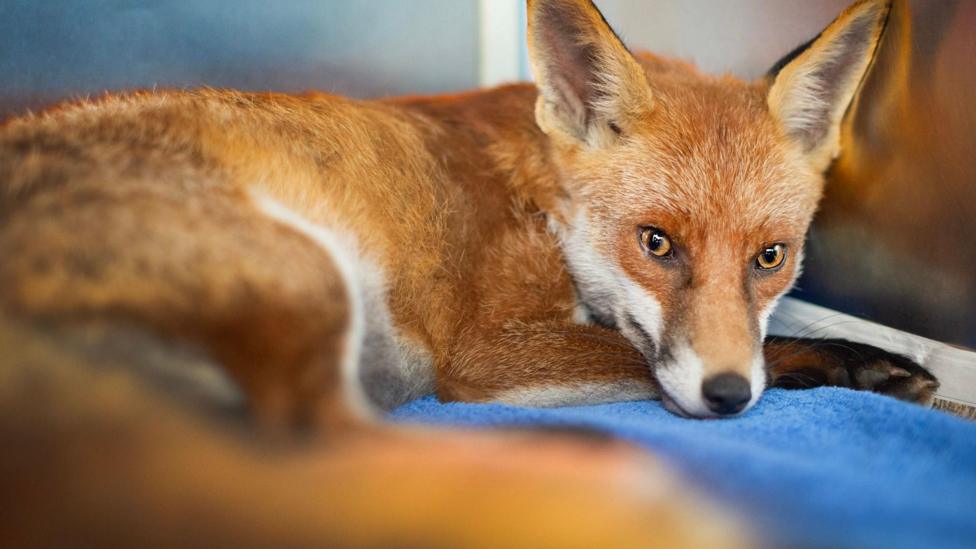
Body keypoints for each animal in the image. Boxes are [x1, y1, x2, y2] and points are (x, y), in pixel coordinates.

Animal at [0, 0, 940, 546]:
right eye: (656, 243)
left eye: (770, 257)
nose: (728, 398)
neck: (538, 196)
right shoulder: (489, 353)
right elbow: (652, 355)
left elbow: (773, 336)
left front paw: (859, 359)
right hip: (302, 271)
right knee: (318, 448)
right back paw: (578, 463)